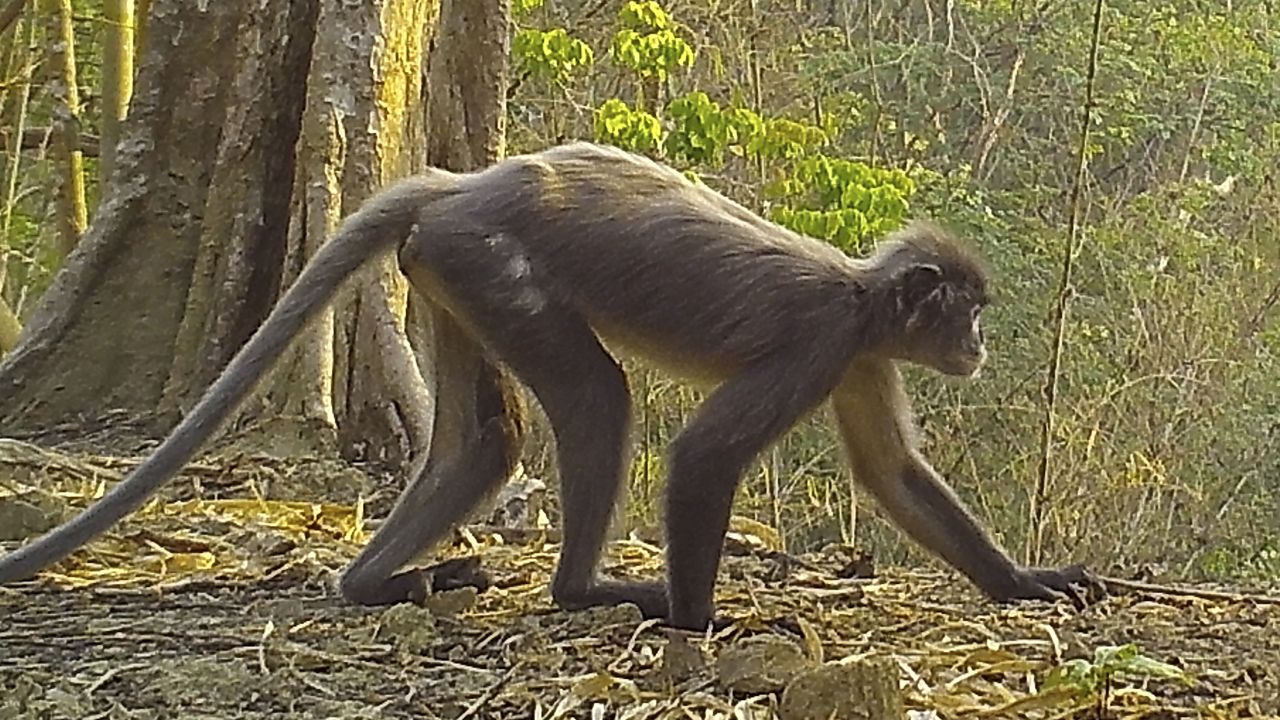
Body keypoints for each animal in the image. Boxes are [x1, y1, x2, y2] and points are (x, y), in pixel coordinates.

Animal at [0, 141, 1096, 631]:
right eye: (966, 310)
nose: (977, 346)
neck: (865, 297)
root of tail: (464, 183)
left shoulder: (861, 351)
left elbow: (893, 476)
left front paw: (1024, 583)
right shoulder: (826, 340)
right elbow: (704, 454)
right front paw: (699, 621)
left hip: (449, 269)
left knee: (487, 439)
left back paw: (382, 583)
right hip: (494, 264)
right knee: (599, 401)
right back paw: (583, 590)